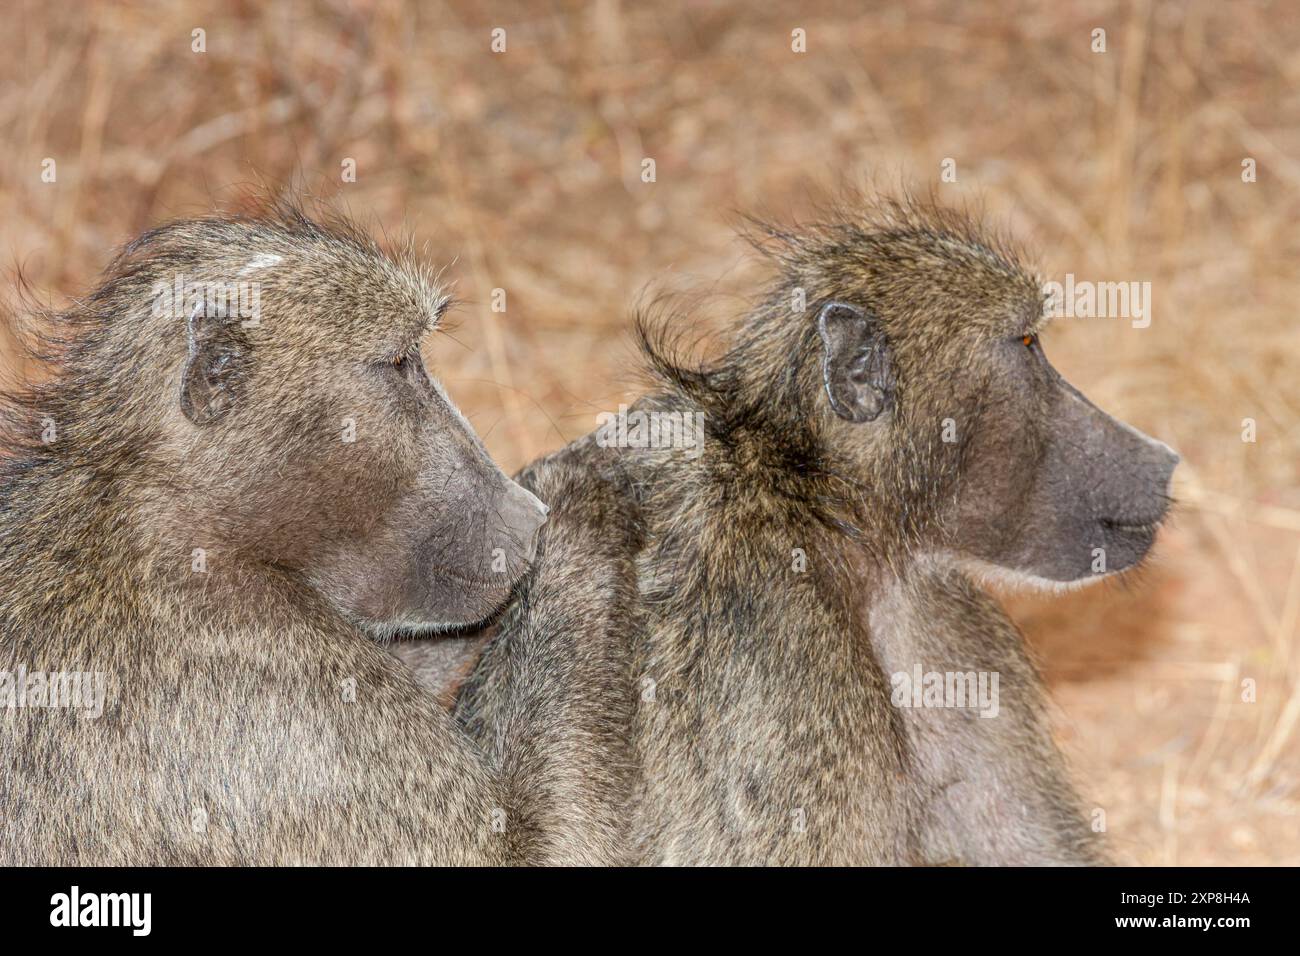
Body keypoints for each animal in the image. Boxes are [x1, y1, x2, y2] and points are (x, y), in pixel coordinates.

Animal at [0, 202, 633, 865]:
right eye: (400, 364)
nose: (526, 513)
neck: (192, 526)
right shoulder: (275, 691)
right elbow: (536, 849)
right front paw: (583, 485)